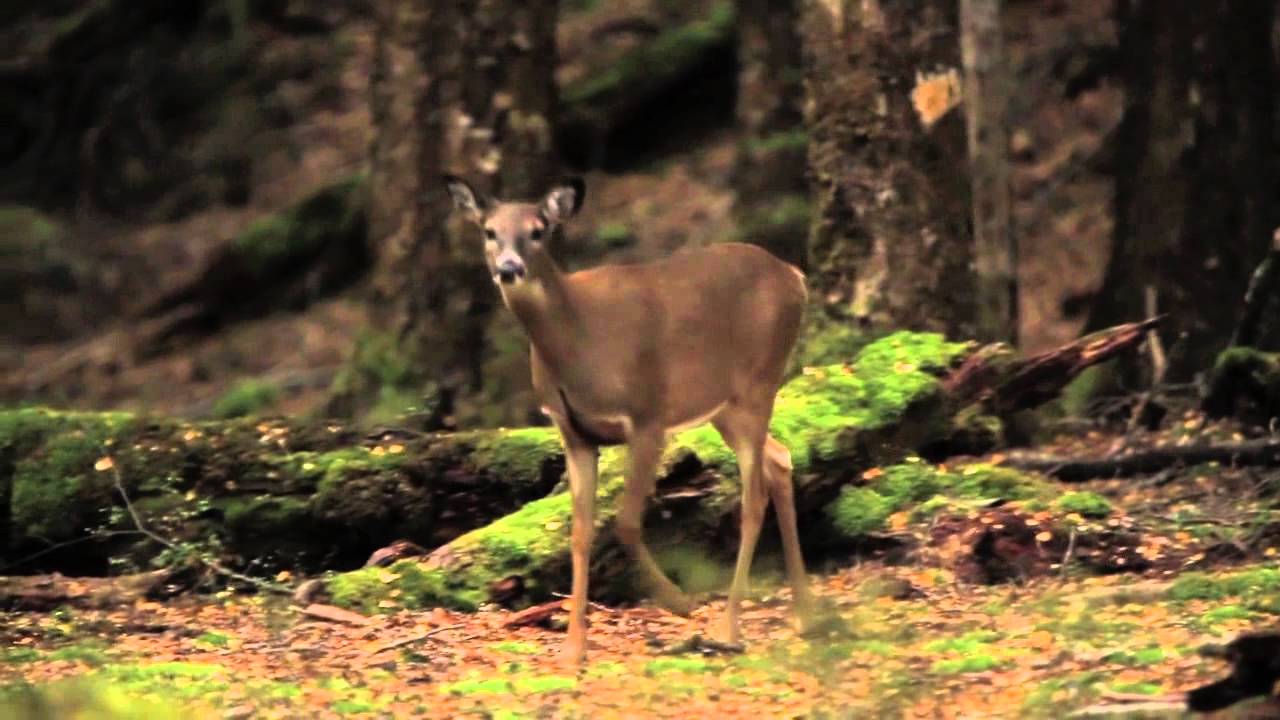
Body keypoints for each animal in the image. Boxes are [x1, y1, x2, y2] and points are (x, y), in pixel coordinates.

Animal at [444, 174, 818, 663]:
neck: (578, 345)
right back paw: (805, 615)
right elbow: (580, 533)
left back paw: (729, 627)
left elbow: (623, 523)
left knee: (753, 497)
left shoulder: (646, 415)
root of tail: (795, 275)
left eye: (538, 230)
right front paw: (573, 649)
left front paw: (680, 602)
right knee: (779, 460)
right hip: (724, 406)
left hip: (759, 379)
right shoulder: (573, 432)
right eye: (489, 231)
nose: (509, 268)